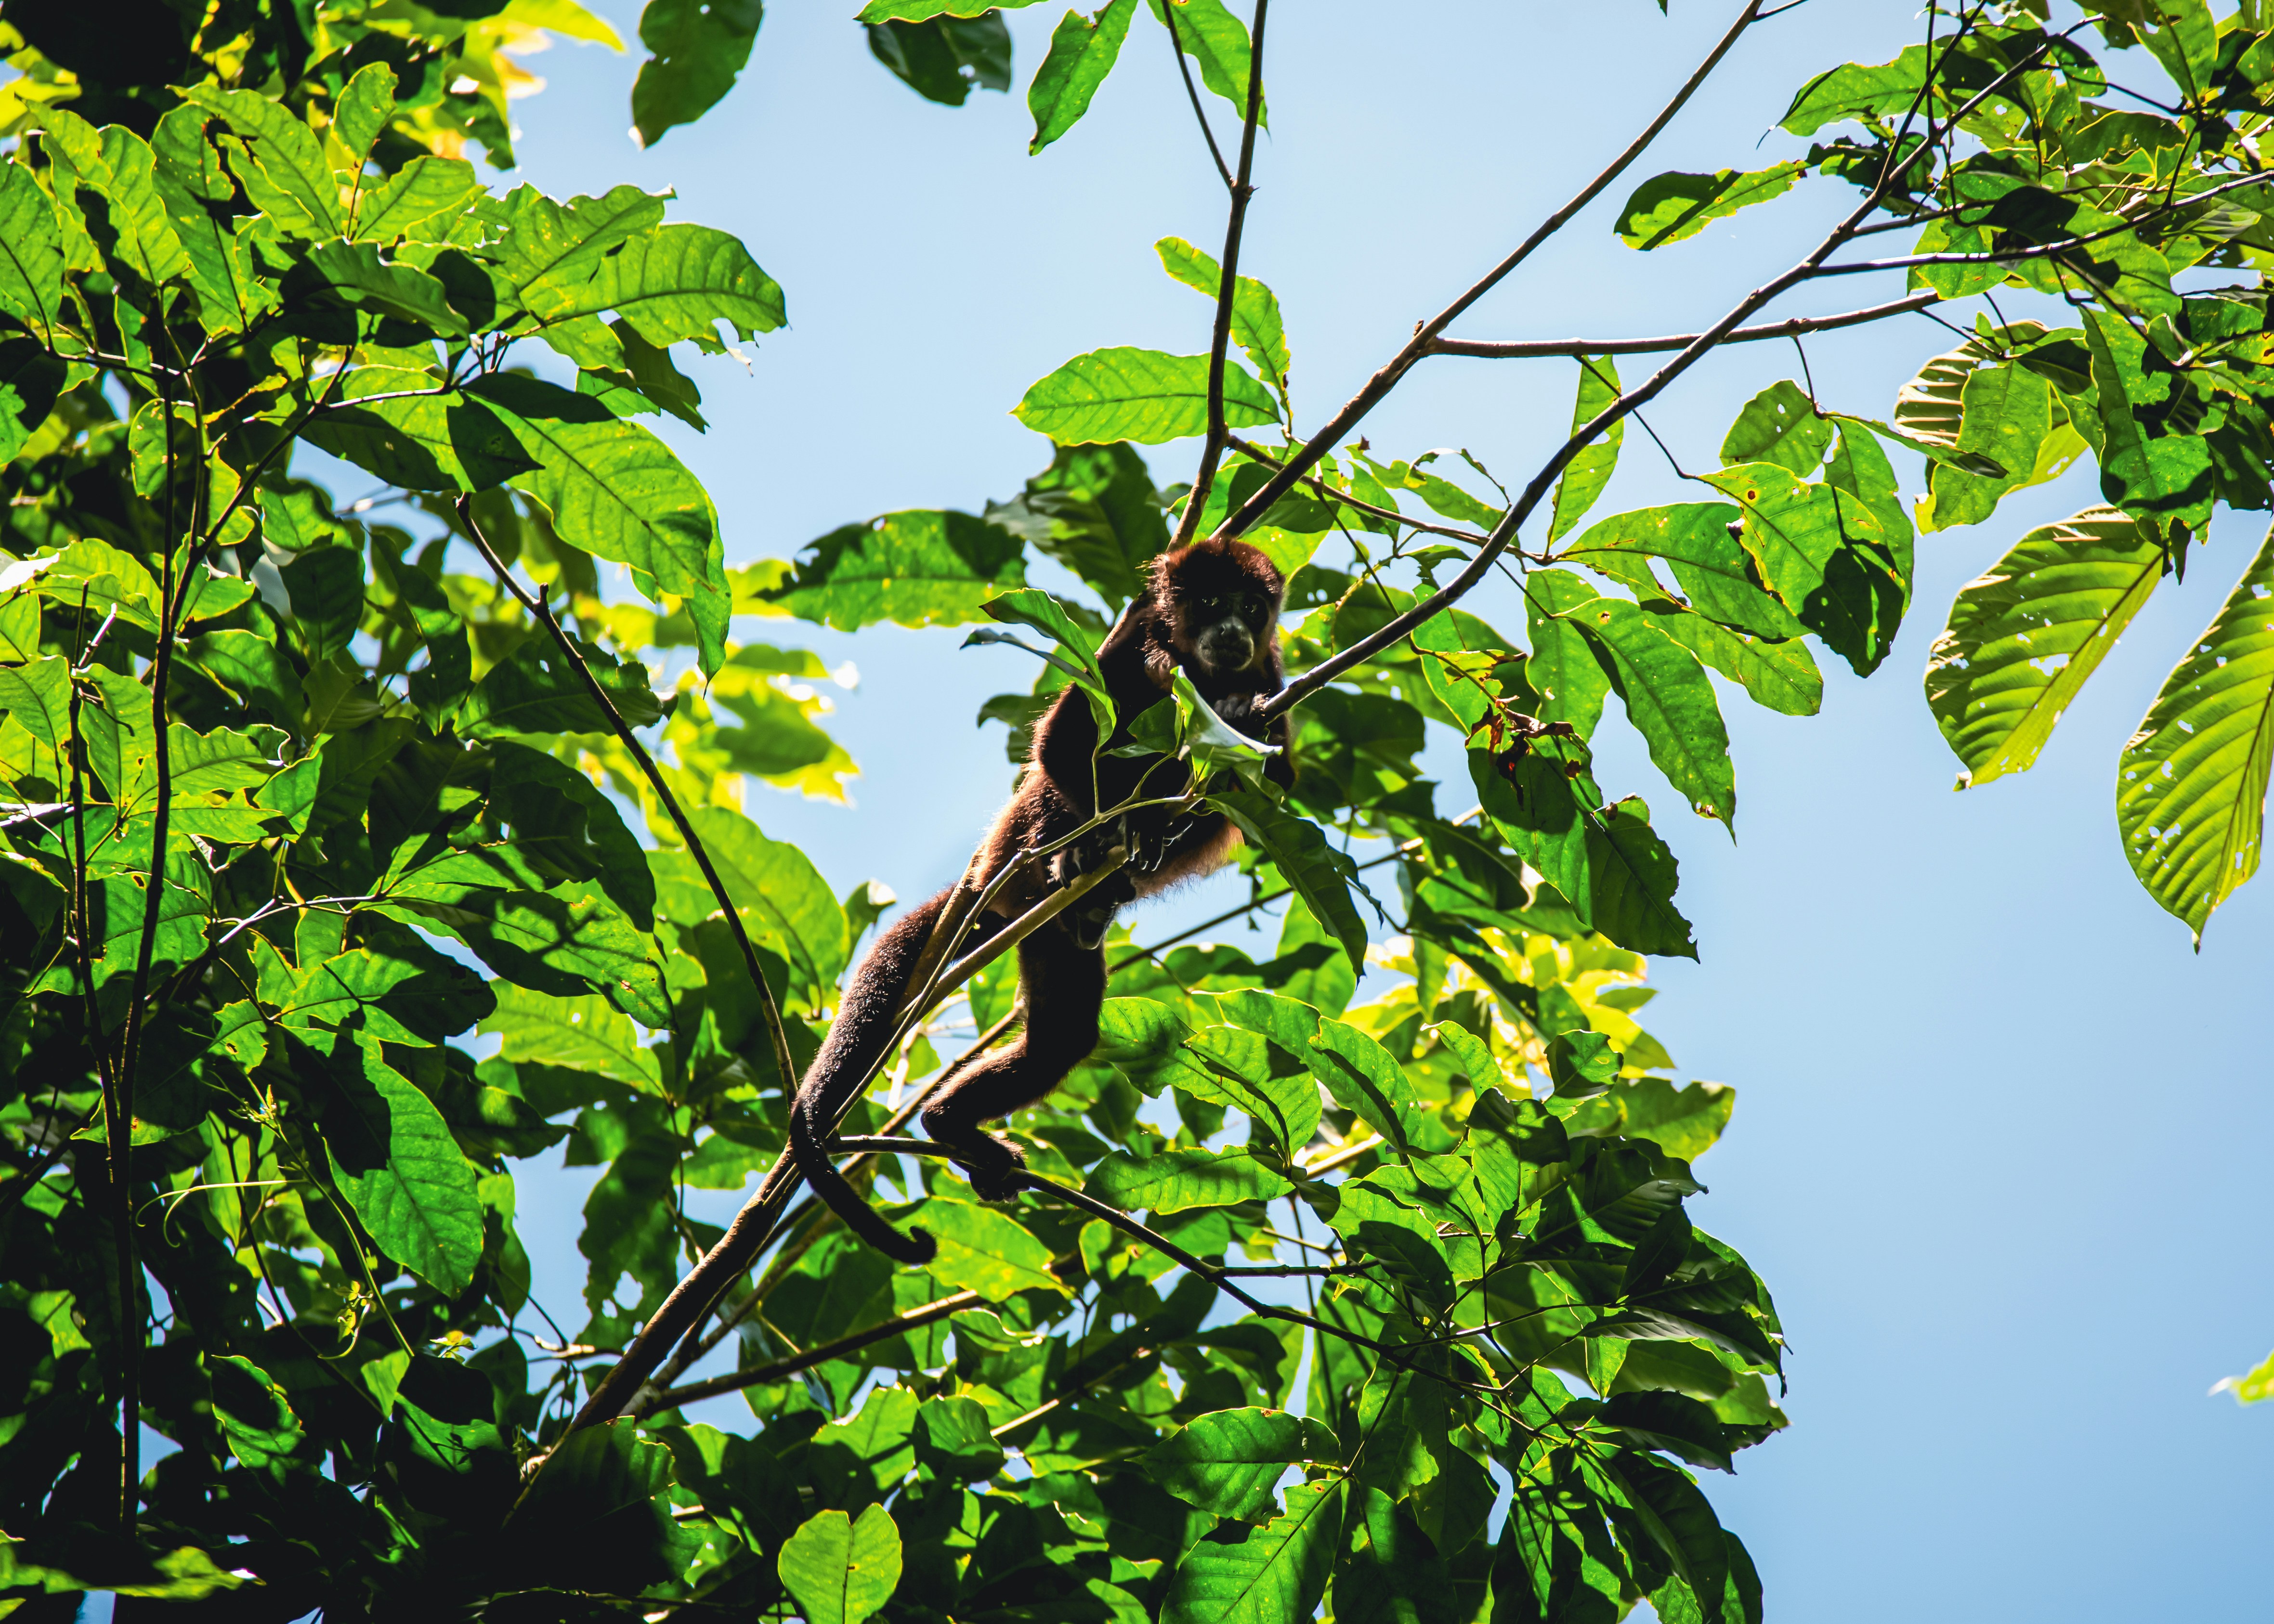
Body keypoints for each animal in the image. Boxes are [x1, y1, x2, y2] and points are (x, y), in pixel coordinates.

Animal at [786, 538, 1296, 1265]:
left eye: (1254, 608)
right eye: (1209, 601)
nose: (1232, 631)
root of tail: (993, 896)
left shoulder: (1274, 671)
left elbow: (1277, 776)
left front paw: (1234, 712)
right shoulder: (1130, 634)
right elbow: (1063, 743)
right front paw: (1125, 823)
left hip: (1050, 937)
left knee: (1062, 1036)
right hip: (1019, 857)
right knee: (1070, 782)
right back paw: (1085, 857)